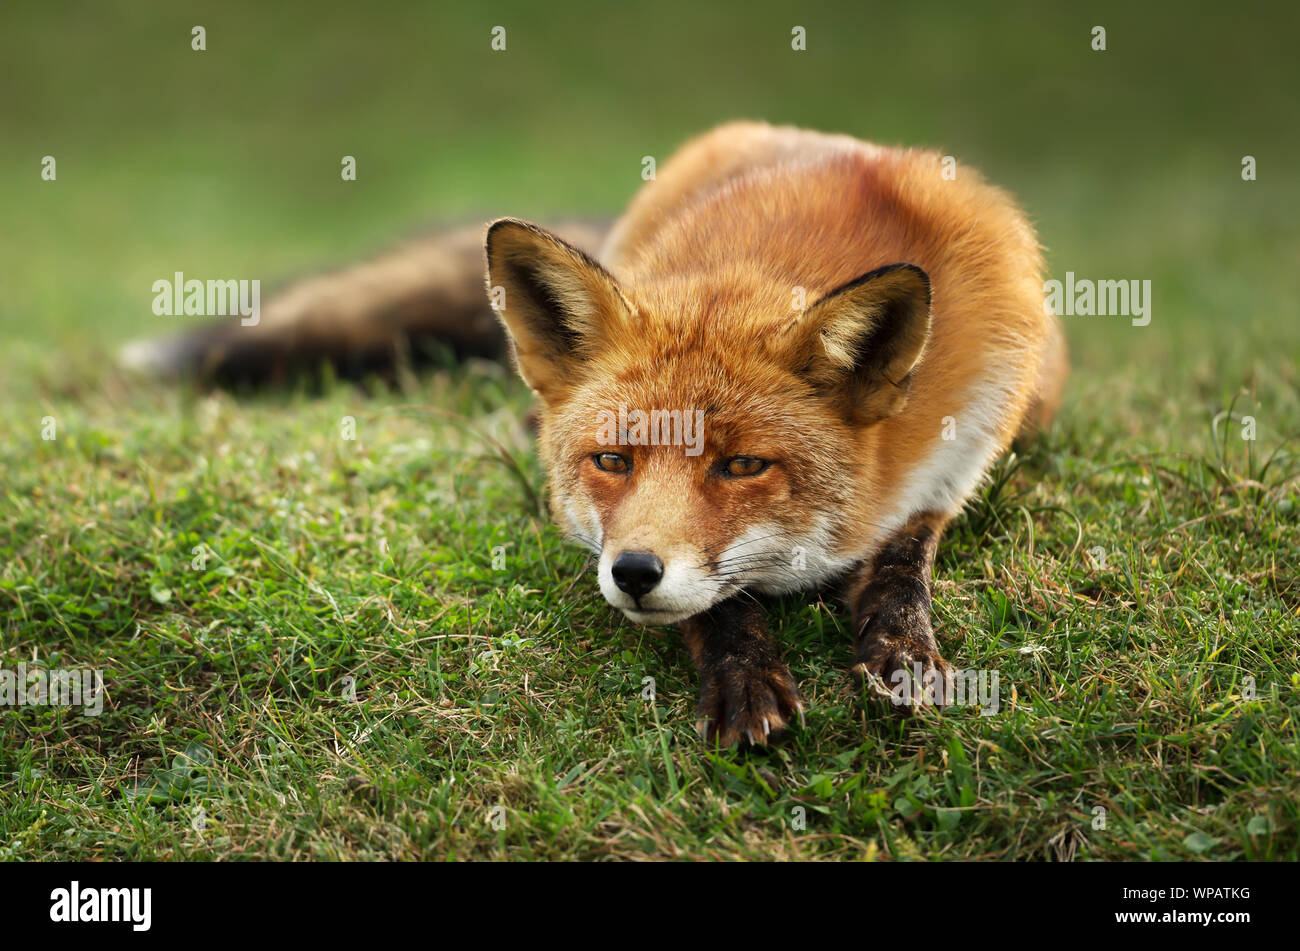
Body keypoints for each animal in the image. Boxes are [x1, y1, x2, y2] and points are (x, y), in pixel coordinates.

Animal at [123, 121, 1067, 747]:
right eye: (612, 460)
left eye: (744, 465)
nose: (635, 571)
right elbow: (719, 604)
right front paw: (742, 668)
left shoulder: (972, 439)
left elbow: (908, 554)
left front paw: (900, 644)